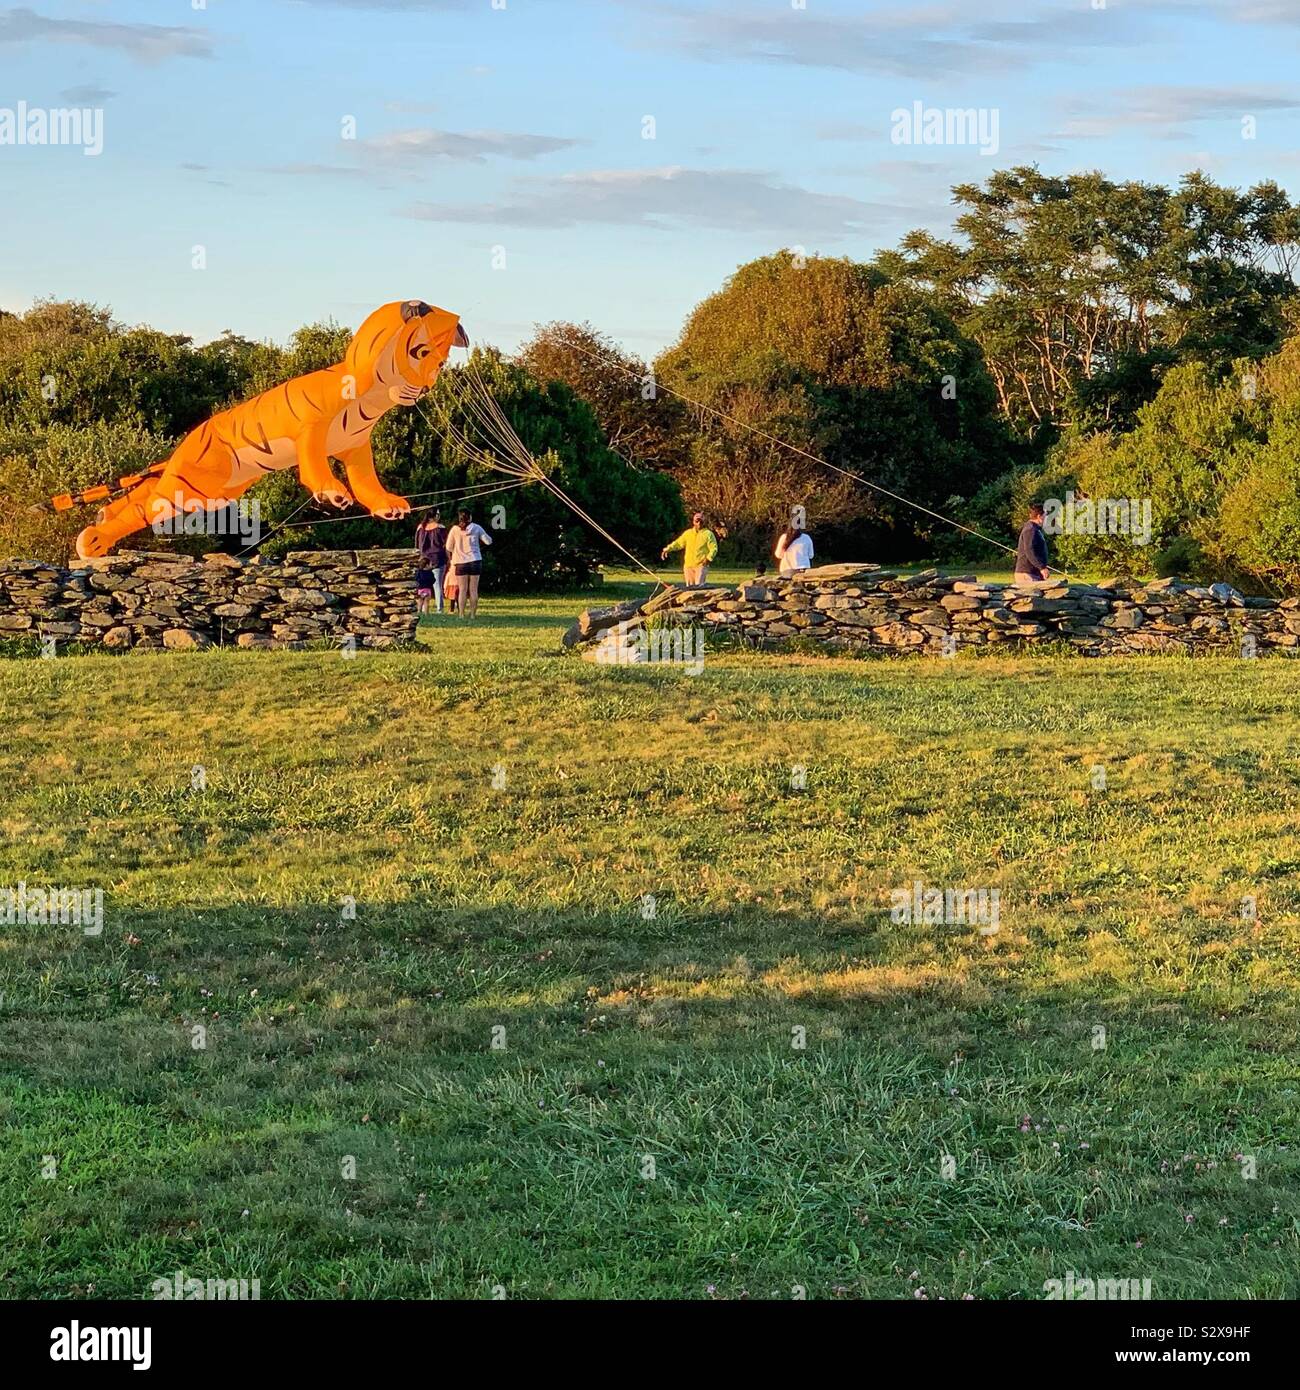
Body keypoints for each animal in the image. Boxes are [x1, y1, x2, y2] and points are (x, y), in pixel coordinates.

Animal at [61, 299, 468, 559]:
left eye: (441, 362)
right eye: (420, 352)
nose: (427, 386)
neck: (374, 398)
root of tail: (187, 440)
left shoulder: (355, 447)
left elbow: (367, 481)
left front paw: (388, 505)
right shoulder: (312, 428)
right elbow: (315, 467)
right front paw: (334, 494)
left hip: (211, 489)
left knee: (139, 497)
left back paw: (97, 526)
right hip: (195, 478)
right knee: (146, 503)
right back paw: (93, 540)